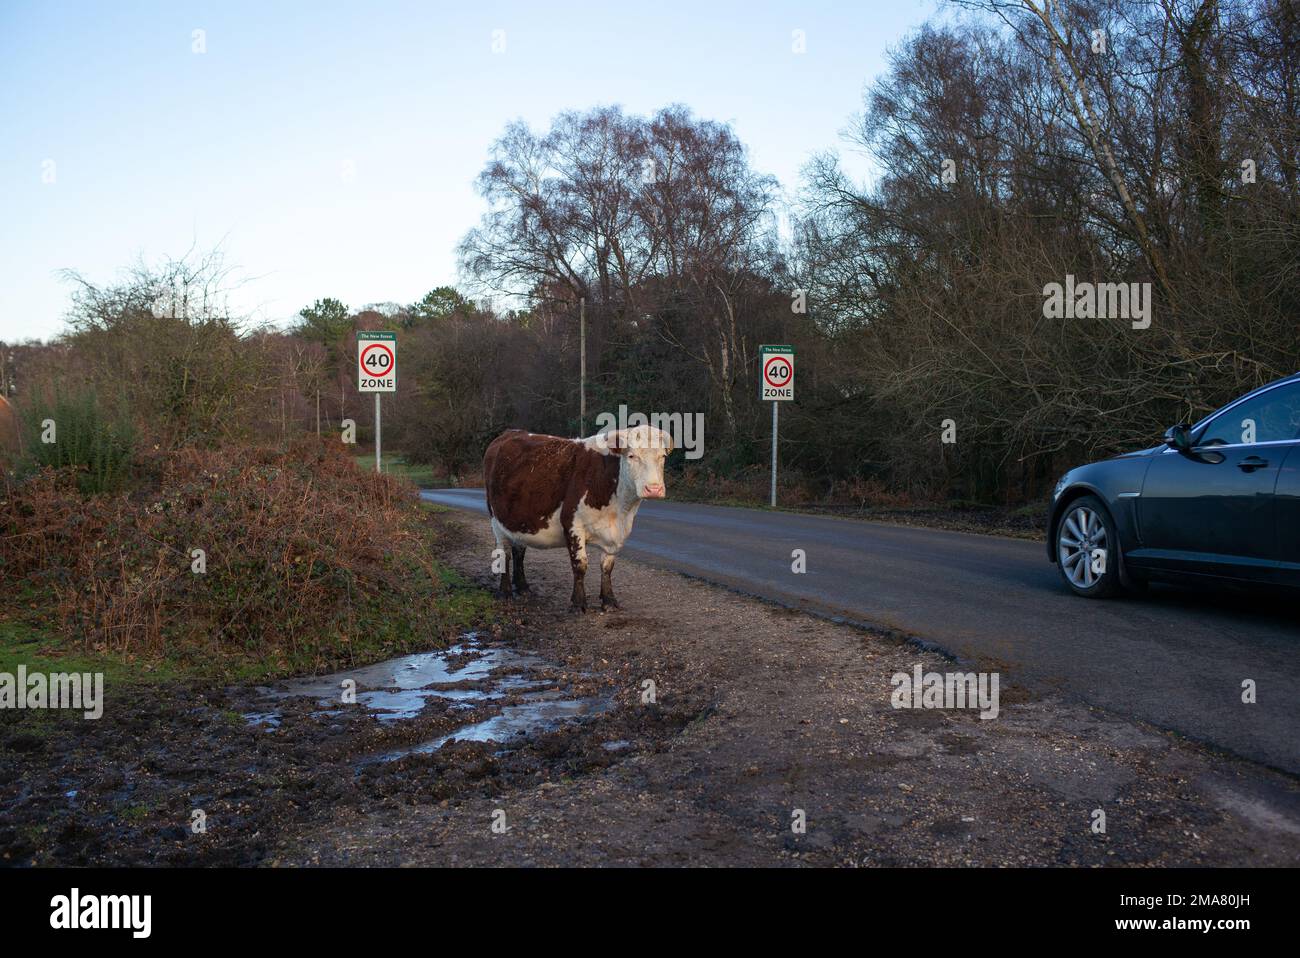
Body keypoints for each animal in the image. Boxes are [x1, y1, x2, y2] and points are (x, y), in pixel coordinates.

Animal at [482, 424, 672, 612]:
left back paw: (523, 587)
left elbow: (607, 567)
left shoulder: (616, 533)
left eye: (662, 456)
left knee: (519, 551)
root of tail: (509, 433)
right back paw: (505, 592)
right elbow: (580, 564)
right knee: (504, 553)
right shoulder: (573, 525)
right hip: (496, 521)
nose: (653, 489)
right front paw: (578, 603)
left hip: (519, 522)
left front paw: (609, 600)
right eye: (632, 456)